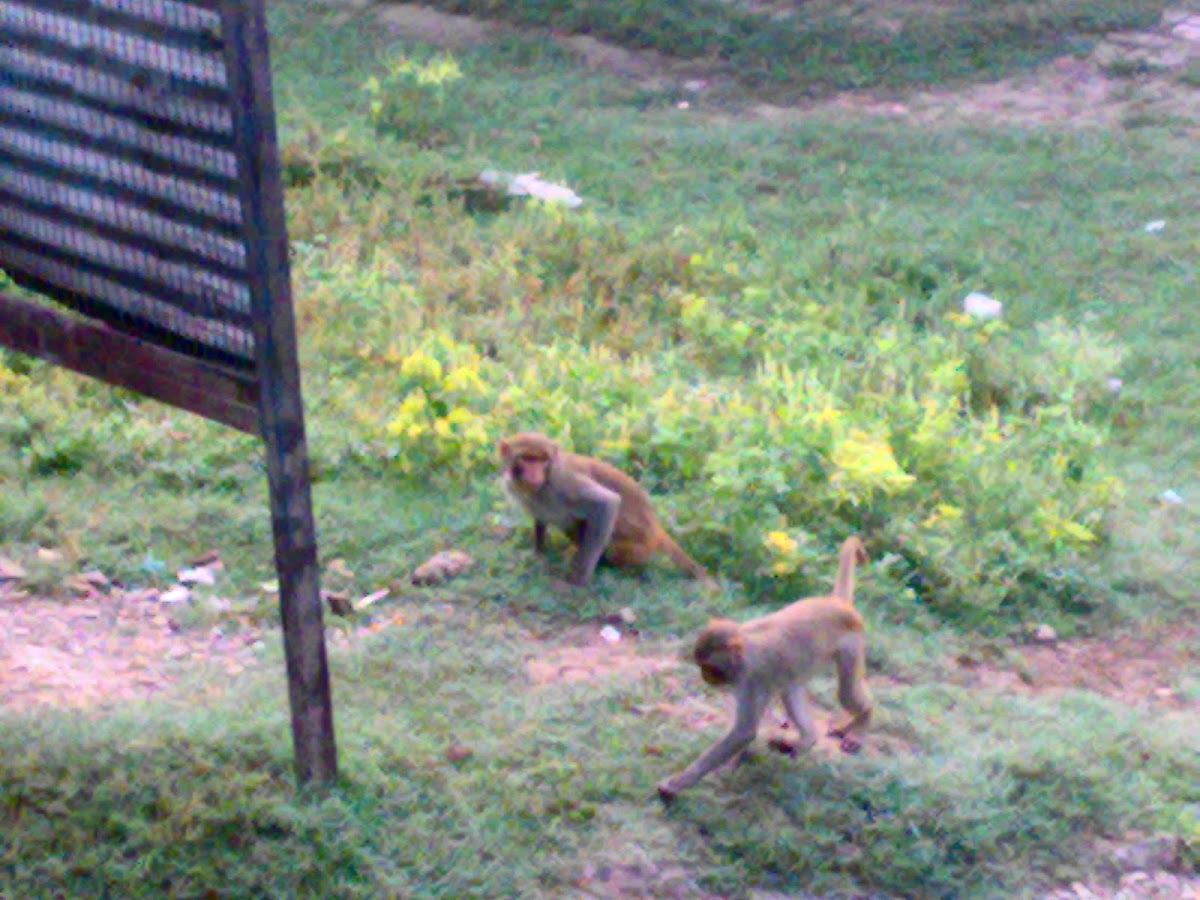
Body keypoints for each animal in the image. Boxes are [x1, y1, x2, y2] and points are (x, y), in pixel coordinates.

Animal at [499, 432, 711, 588]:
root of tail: (657, 529)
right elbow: (540, 519)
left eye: (542, 460)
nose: (535, 474)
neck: (542, 487)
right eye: (526, 458)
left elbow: (607, 503)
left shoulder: (563, 483)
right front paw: (538, 553)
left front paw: (578, 580)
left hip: (636, 545)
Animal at [657, 537, 872, 801]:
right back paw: (806, 740)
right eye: (701, 666)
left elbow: (744, 732)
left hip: (852, 645)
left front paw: (677, 783)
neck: (745, 647)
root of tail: (837, 604)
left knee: (846, 693)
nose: (704, 677)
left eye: (710, 668)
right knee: (790, 691)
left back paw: (862, 720)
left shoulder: (752, 677)